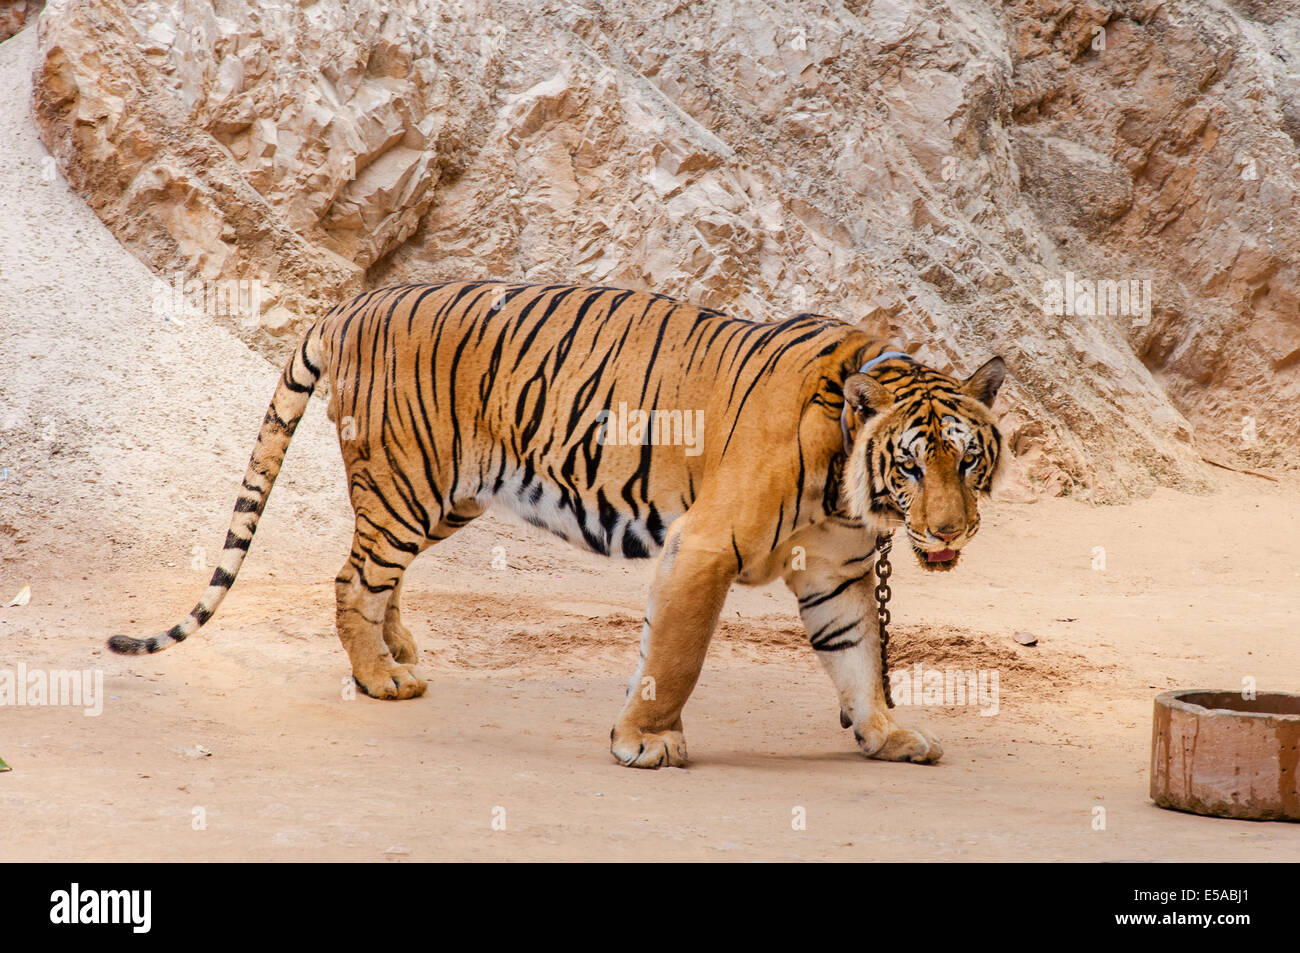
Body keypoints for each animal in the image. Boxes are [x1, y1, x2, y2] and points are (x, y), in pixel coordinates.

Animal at [109, 281, 1006, 768]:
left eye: (968, 461)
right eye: (913, 466)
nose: (950, 532)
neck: (851, 490)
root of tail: (353, 301)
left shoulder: (836, 574)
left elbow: (860, 661)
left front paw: (887, 733)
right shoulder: (704, 547)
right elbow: (676, 657)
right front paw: (645, 741)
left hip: (447, 496)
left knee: (377, 571)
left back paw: (400, 653)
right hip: (408, 482)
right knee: (352, 577)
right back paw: (380, 677)